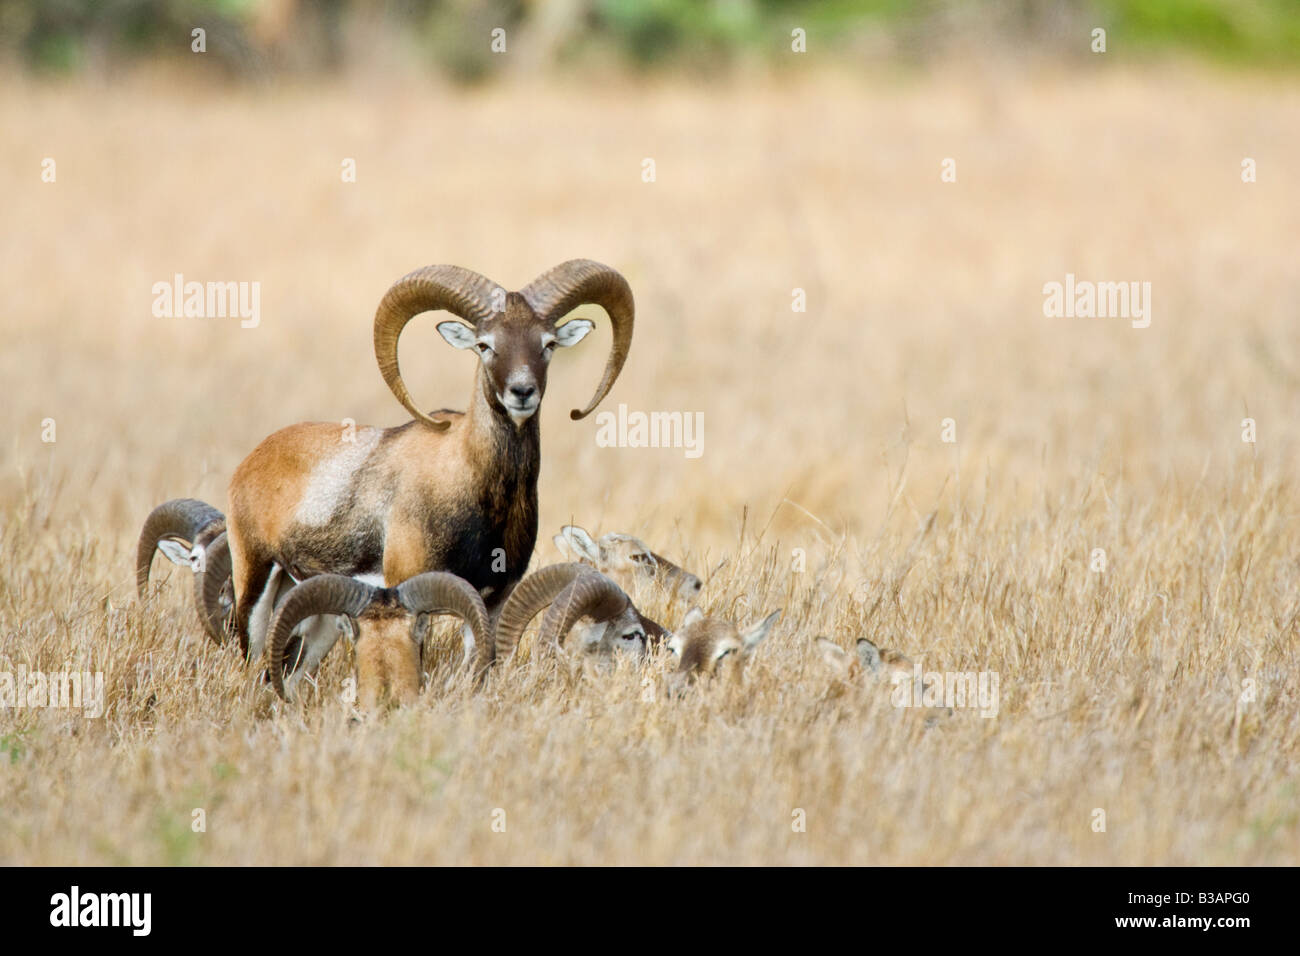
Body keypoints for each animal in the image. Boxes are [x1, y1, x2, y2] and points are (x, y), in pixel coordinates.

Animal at [224, 260, 634, 665]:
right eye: (485, 345)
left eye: (548, 343)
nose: (522, 392)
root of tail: (252, 462)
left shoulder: (493, 602)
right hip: (256, 584)